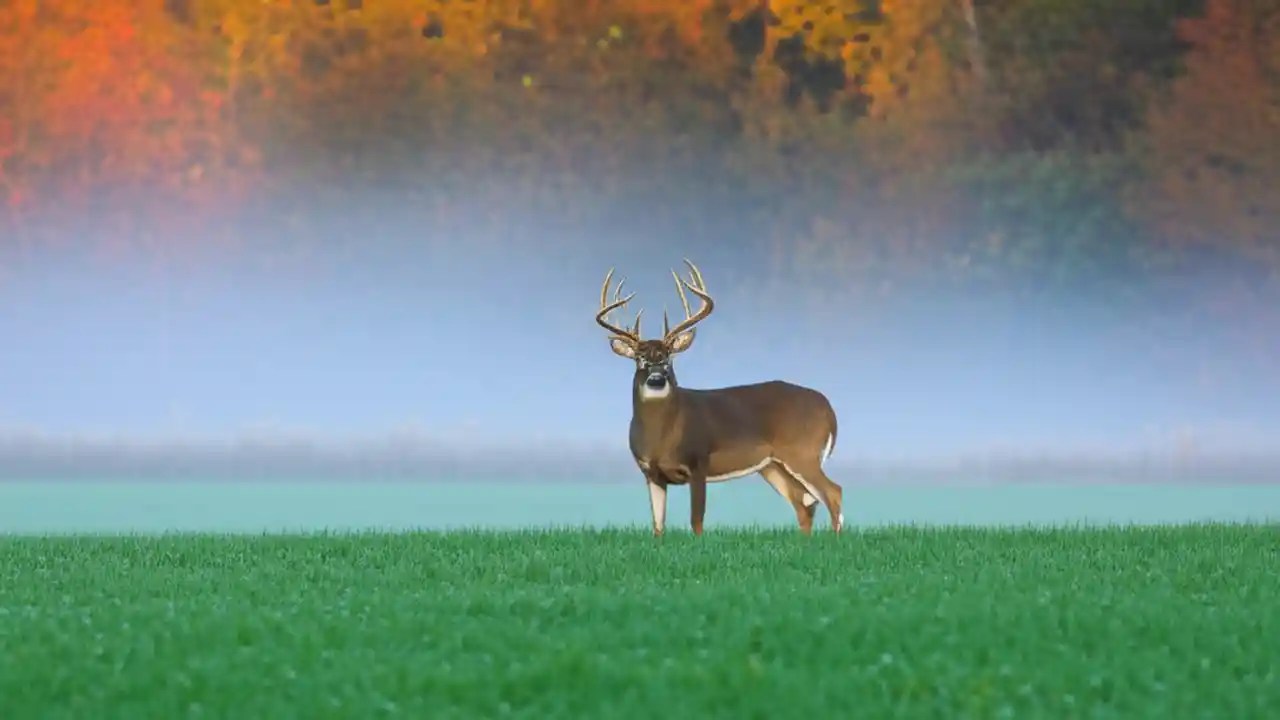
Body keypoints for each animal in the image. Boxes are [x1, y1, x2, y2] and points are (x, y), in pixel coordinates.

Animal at [595, 259, 844, 537]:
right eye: (640, 359)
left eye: (669, 357)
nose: (657, 378)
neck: (662, 437)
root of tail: (829, 409)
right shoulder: (651, 474)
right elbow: (658, 526)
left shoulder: (698, 463)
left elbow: (697, 520)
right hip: (773, 466)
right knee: (804, 504)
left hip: (803, 451)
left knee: (833, 492)